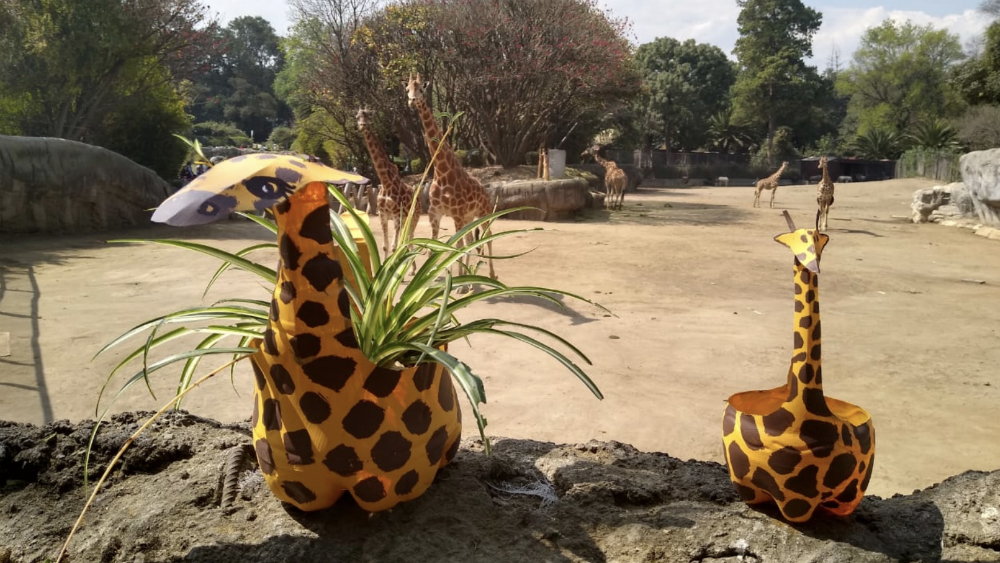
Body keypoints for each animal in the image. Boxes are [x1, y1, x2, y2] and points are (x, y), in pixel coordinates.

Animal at [357, 107, 421, 273]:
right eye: (357, 116)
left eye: (368, 116)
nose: (362, 125)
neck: (386, 183)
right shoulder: (383, 214)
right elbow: (385, 246)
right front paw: (382, 271)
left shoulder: (396, 215)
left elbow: (394, 247)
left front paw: (393, 272)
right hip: (405, 220)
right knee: (406, 240)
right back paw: (410, 268)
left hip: (413, 218)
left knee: (410, 238)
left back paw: (411, 269)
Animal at [405, 72, 496, 281]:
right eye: (407, 89)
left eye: (421, 88)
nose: (412, 101)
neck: (441, 172)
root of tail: (485, 190)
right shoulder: (435, 214)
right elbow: (435, 248)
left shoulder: (457, 213)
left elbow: (458, 246)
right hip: (470, 217)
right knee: (470, 240)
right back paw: (468, 277)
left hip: (484, 212)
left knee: (487, 238)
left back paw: (492, 275)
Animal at [721, 212, 875, 523]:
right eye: (795, 241)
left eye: (818, 240)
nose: (813, 263)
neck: (804, 403)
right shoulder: (780, 496)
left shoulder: (804, 500)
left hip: (852, 493)